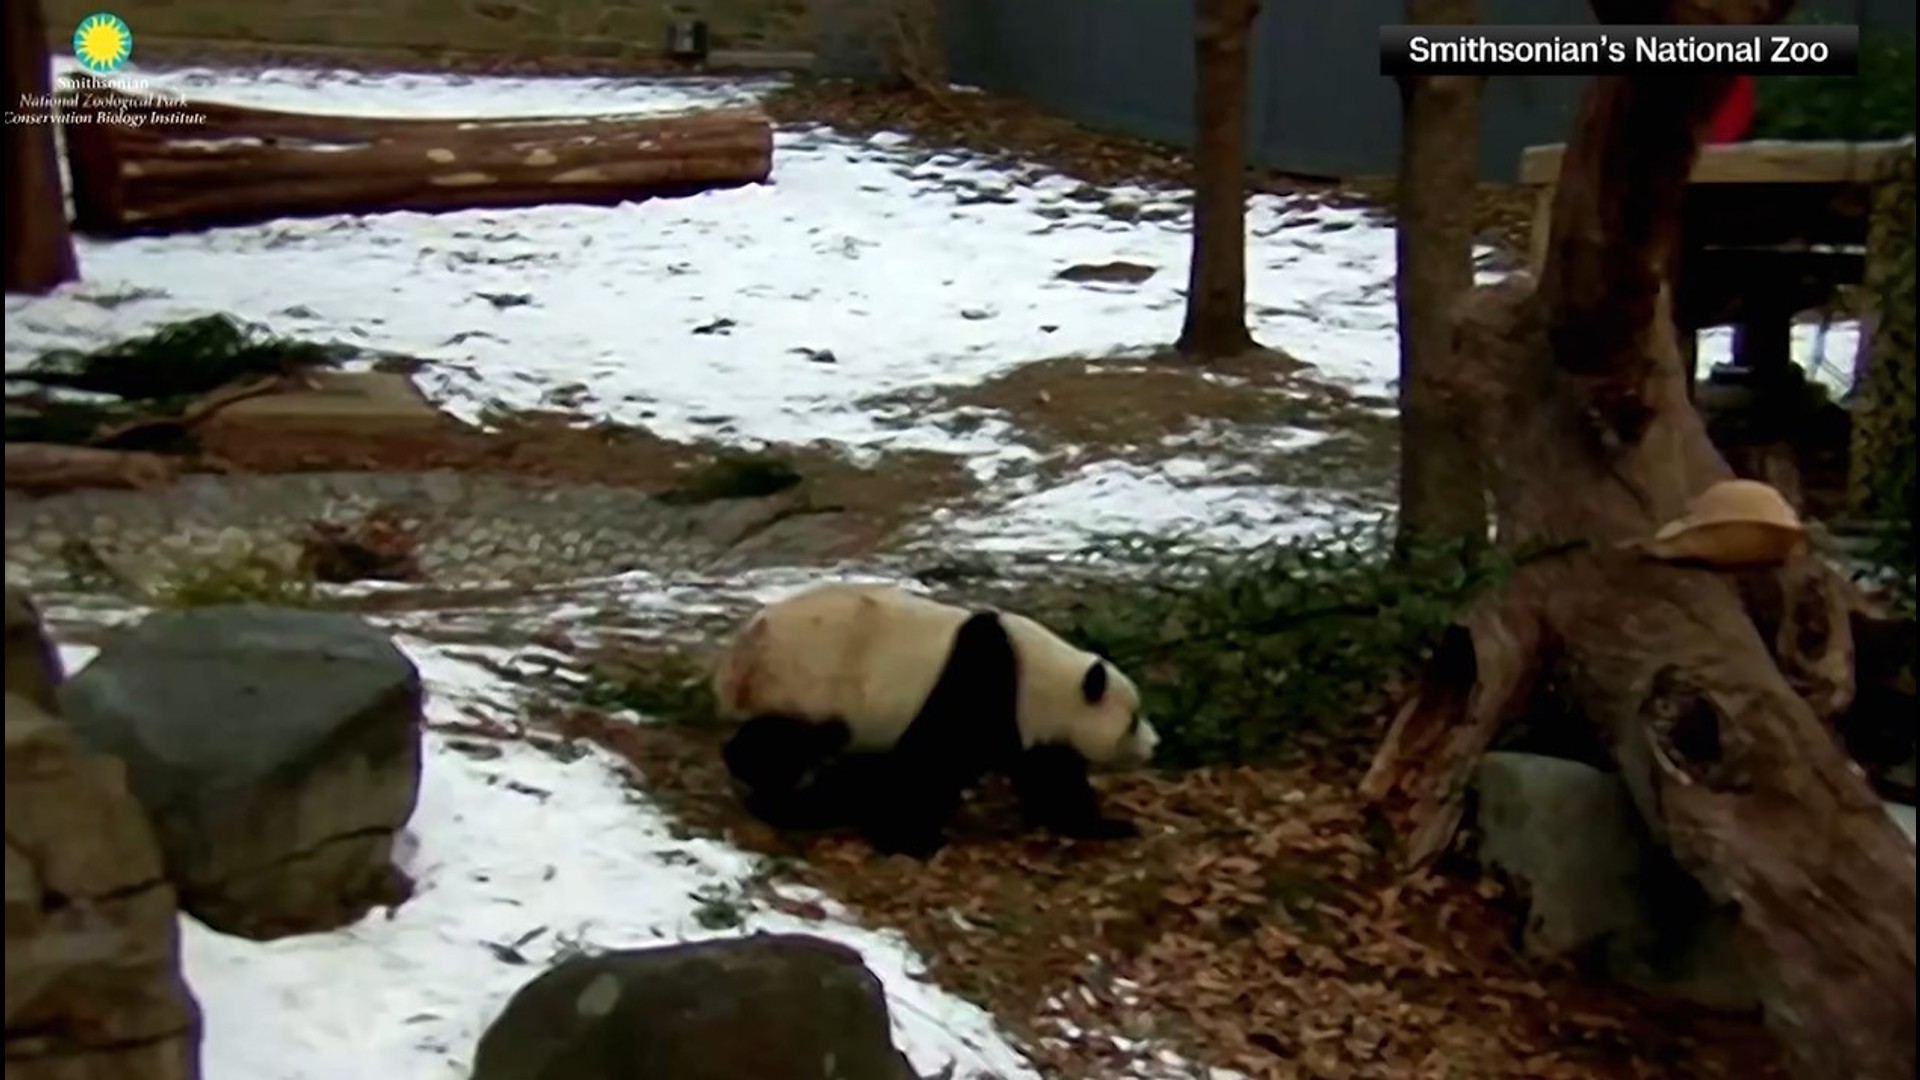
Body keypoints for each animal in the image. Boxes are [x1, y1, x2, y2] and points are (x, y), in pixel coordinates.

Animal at [712, 581, 1160, 859]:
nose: (1154, 745)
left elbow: (1051, 778)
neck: (1041, 679)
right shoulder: (979, 688)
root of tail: (737, 657)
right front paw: (909, 838)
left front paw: (1107, 825)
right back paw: (773, 797)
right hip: (807, 683)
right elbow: (931, 769)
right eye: (1133, 720)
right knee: (786, 742)